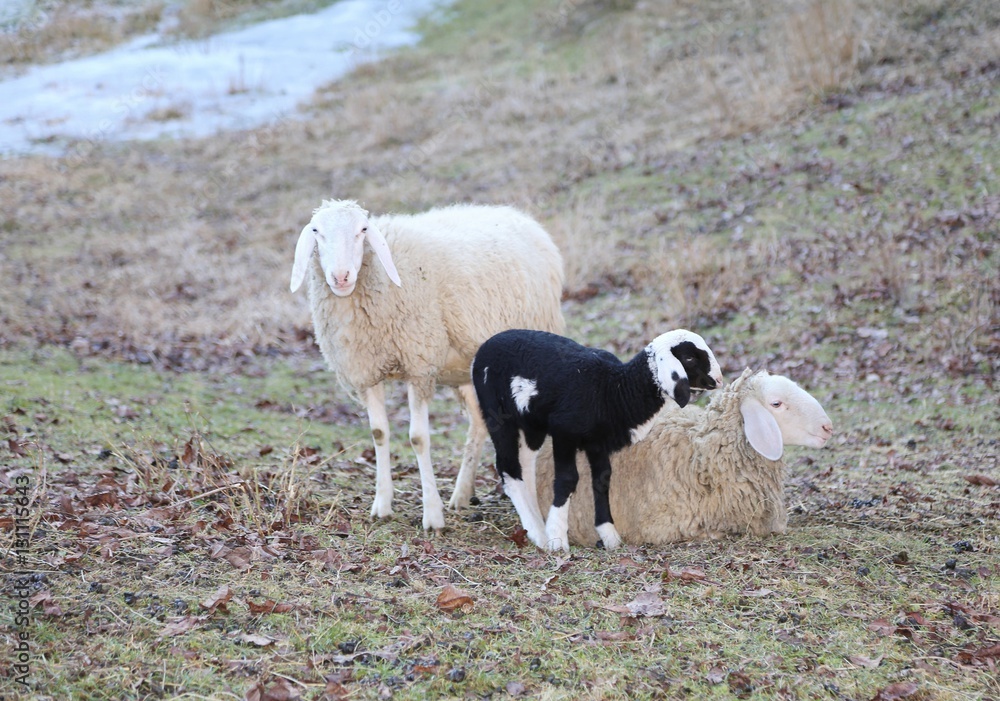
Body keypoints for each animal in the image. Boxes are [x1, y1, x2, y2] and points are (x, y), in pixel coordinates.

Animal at [290, 199, 565, 530]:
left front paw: (432, 515)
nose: (340, 277)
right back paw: (462, 494)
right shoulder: (366, 371)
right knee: (479, 422)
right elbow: (379, 433)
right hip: (468, 371)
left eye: (363, 230)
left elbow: (418, 438)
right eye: (316, 231)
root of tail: (519, 216)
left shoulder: (419, 366)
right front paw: (382, 505)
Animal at [471, 328, 723, 552]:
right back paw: (538, 532)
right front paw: (557, 537)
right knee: (509, 470)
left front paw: (608, 535)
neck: (613, 389)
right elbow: (567, 479)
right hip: (499, 415)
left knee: (525, 466)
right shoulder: (564, 432)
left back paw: (535, 522)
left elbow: (602, 479)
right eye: (689, 357)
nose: (719, 380)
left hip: (531, 425)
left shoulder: (598, 443)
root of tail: (484, 348)